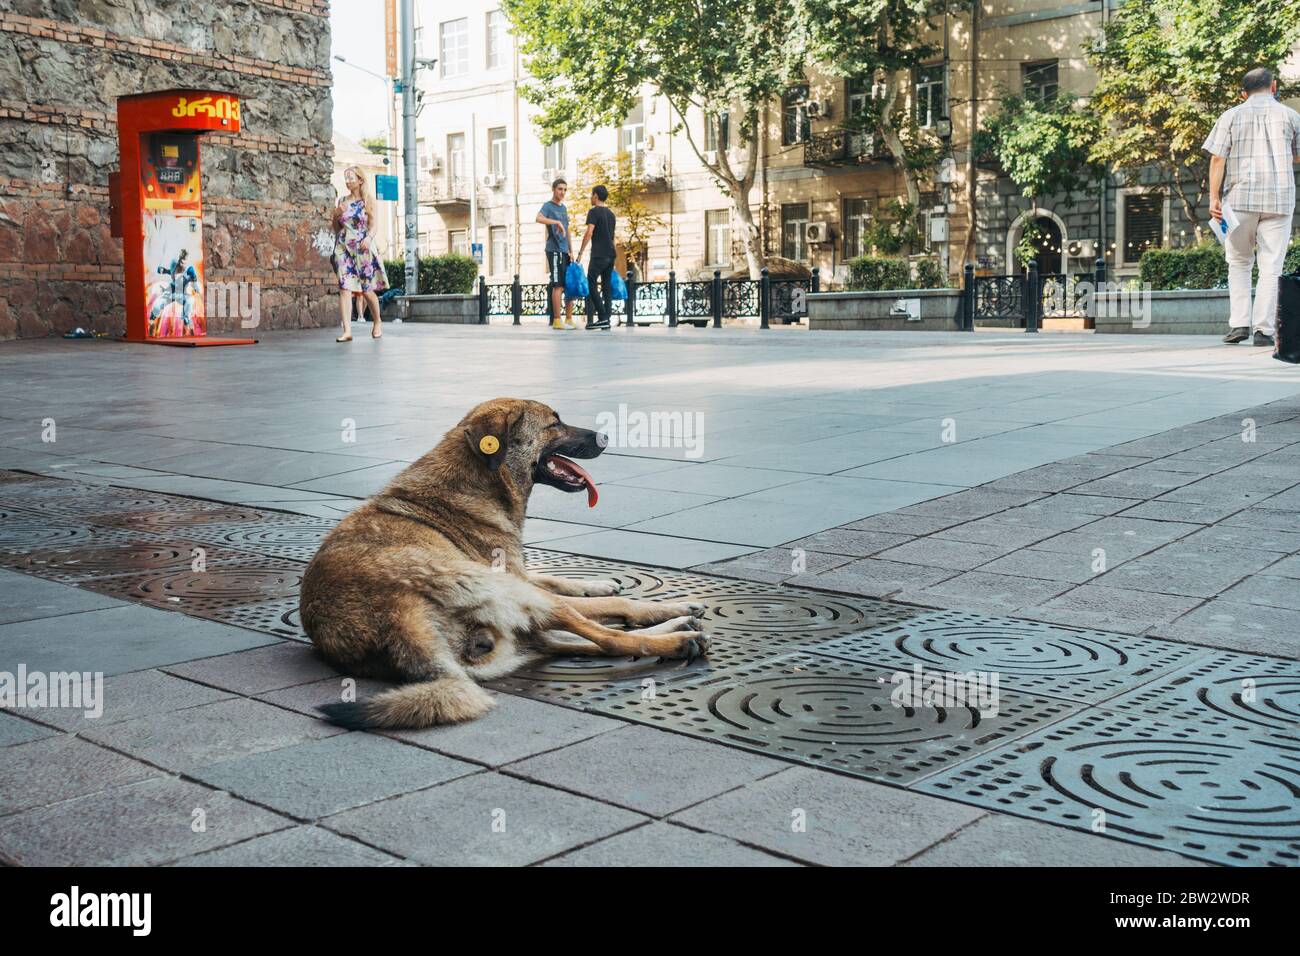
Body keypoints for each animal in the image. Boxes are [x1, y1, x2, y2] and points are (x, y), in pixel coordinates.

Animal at [300, 400, 712, 728]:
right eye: (553, 423)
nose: (606, 437)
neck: (480, 480)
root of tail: (399, 623)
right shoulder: (517, 580)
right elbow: (609, 604)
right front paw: (656, 605)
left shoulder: (520, 574)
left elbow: (559, 579)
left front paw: (598, 584)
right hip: (508, 592)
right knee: (606, 638)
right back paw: (678, 638)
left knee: (567, 641)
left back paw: (680, 627)